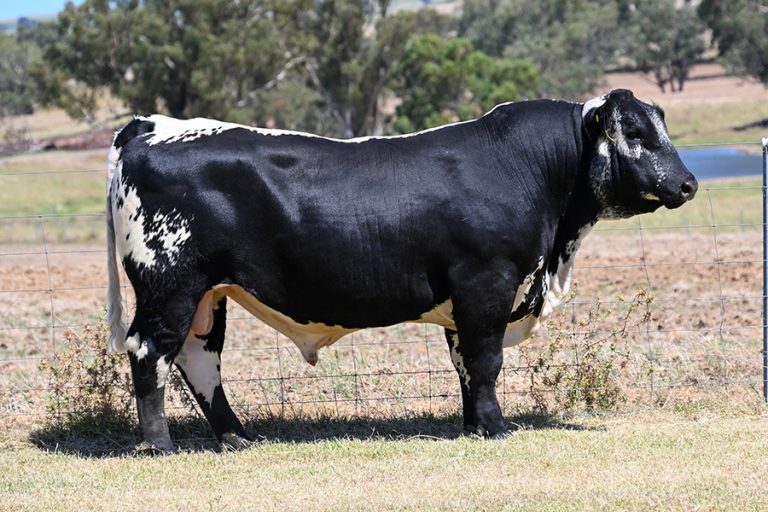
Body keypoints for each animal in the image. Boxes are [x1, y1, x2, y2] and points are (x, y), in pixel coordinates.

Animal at [106, 89, 697, 453]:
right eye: (635, 133)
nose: (688, 183)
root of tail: (152, 126)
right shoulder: (487, 283)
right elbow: (486, 361)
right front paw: (497, 429)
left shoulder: (467, 298)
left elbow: (464, 363)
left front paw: (473, 426)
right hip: (168, 284)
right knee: (150, 351)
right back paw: (160, 444)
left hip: (208, 293)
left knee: (199, 359)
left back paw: (236, 437)